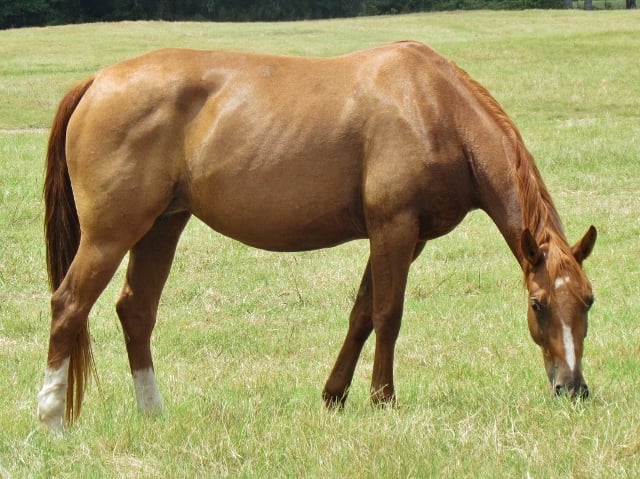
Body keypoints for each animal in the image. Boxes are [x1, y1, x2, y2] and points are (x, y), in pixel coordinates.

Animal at [37, 41, 597, 435]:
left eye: (588, 301)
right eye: (538, 304)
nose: (572, 388)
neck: (433, 105)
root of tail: (97, 80)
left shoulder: (402, 239)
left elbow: (361, 316)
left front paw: (335, 395)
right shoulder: (394, 228)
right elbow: (387, 315)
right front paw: (382, 399)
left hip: (161, 227)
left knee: (135, 311)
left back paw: (153, 414)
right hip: (111, 235)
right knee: (69, 305)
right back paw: (52, 420)